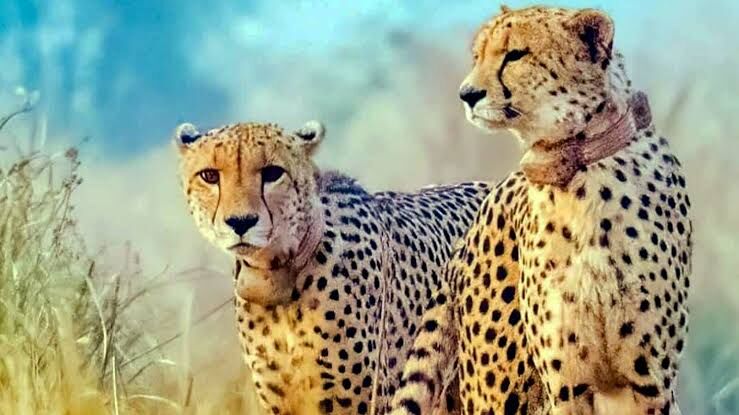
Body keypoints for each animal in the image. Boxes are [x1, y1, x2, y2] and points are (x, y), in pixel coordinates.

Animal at [389, 5, 692, 415]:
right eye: (477, 56)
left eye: (515, 54)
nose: (467, 94)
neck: (578, 170)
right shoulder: (566, 385)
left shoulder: (651, 382)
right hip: (497, 392)